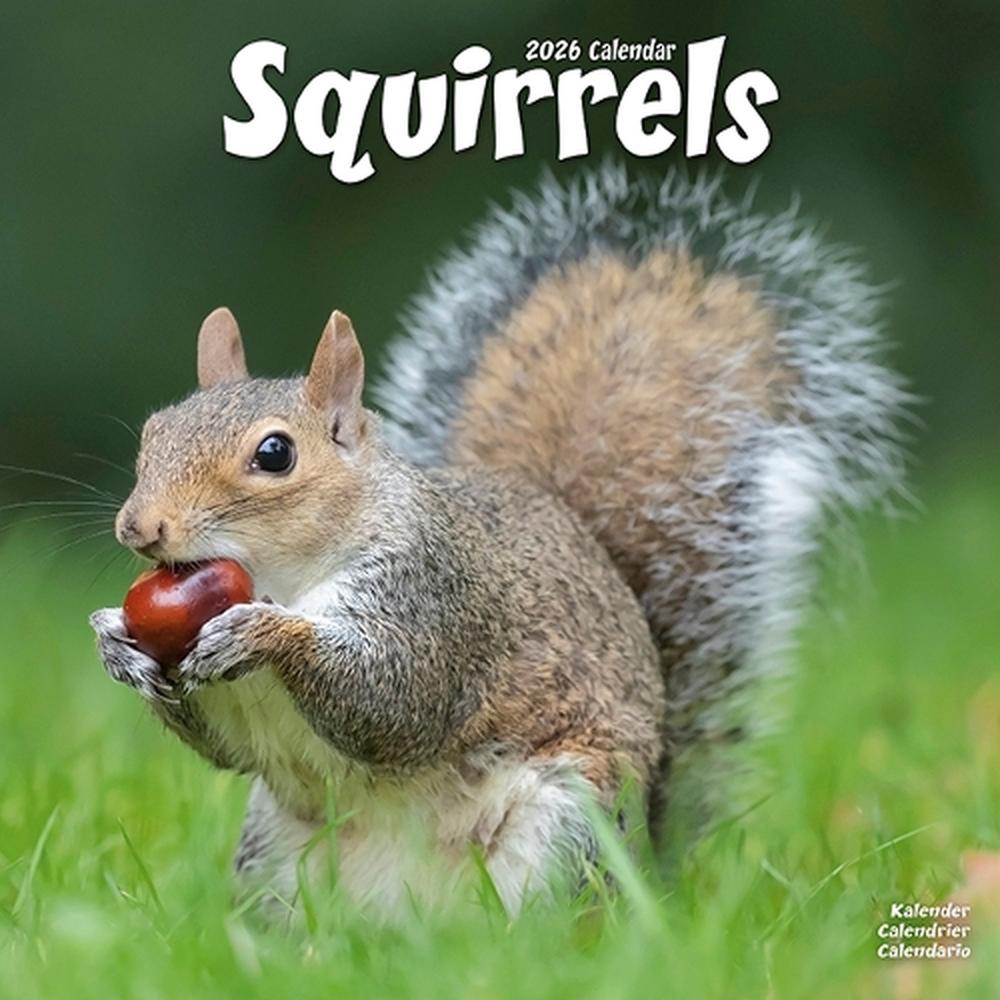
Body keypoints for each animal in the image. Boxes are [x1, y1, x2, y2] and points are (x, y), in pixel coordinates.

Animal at [89, 166, 906, 920]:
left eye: (274, 454)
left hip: (567, 823)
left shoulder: (434, 596)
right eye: (156, 429)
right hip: (275, 851)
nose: (138, 527)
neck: (282, 574)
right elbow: (223, 747)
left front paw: (263, 633)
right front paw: (115, 642)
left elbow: (392, 700)